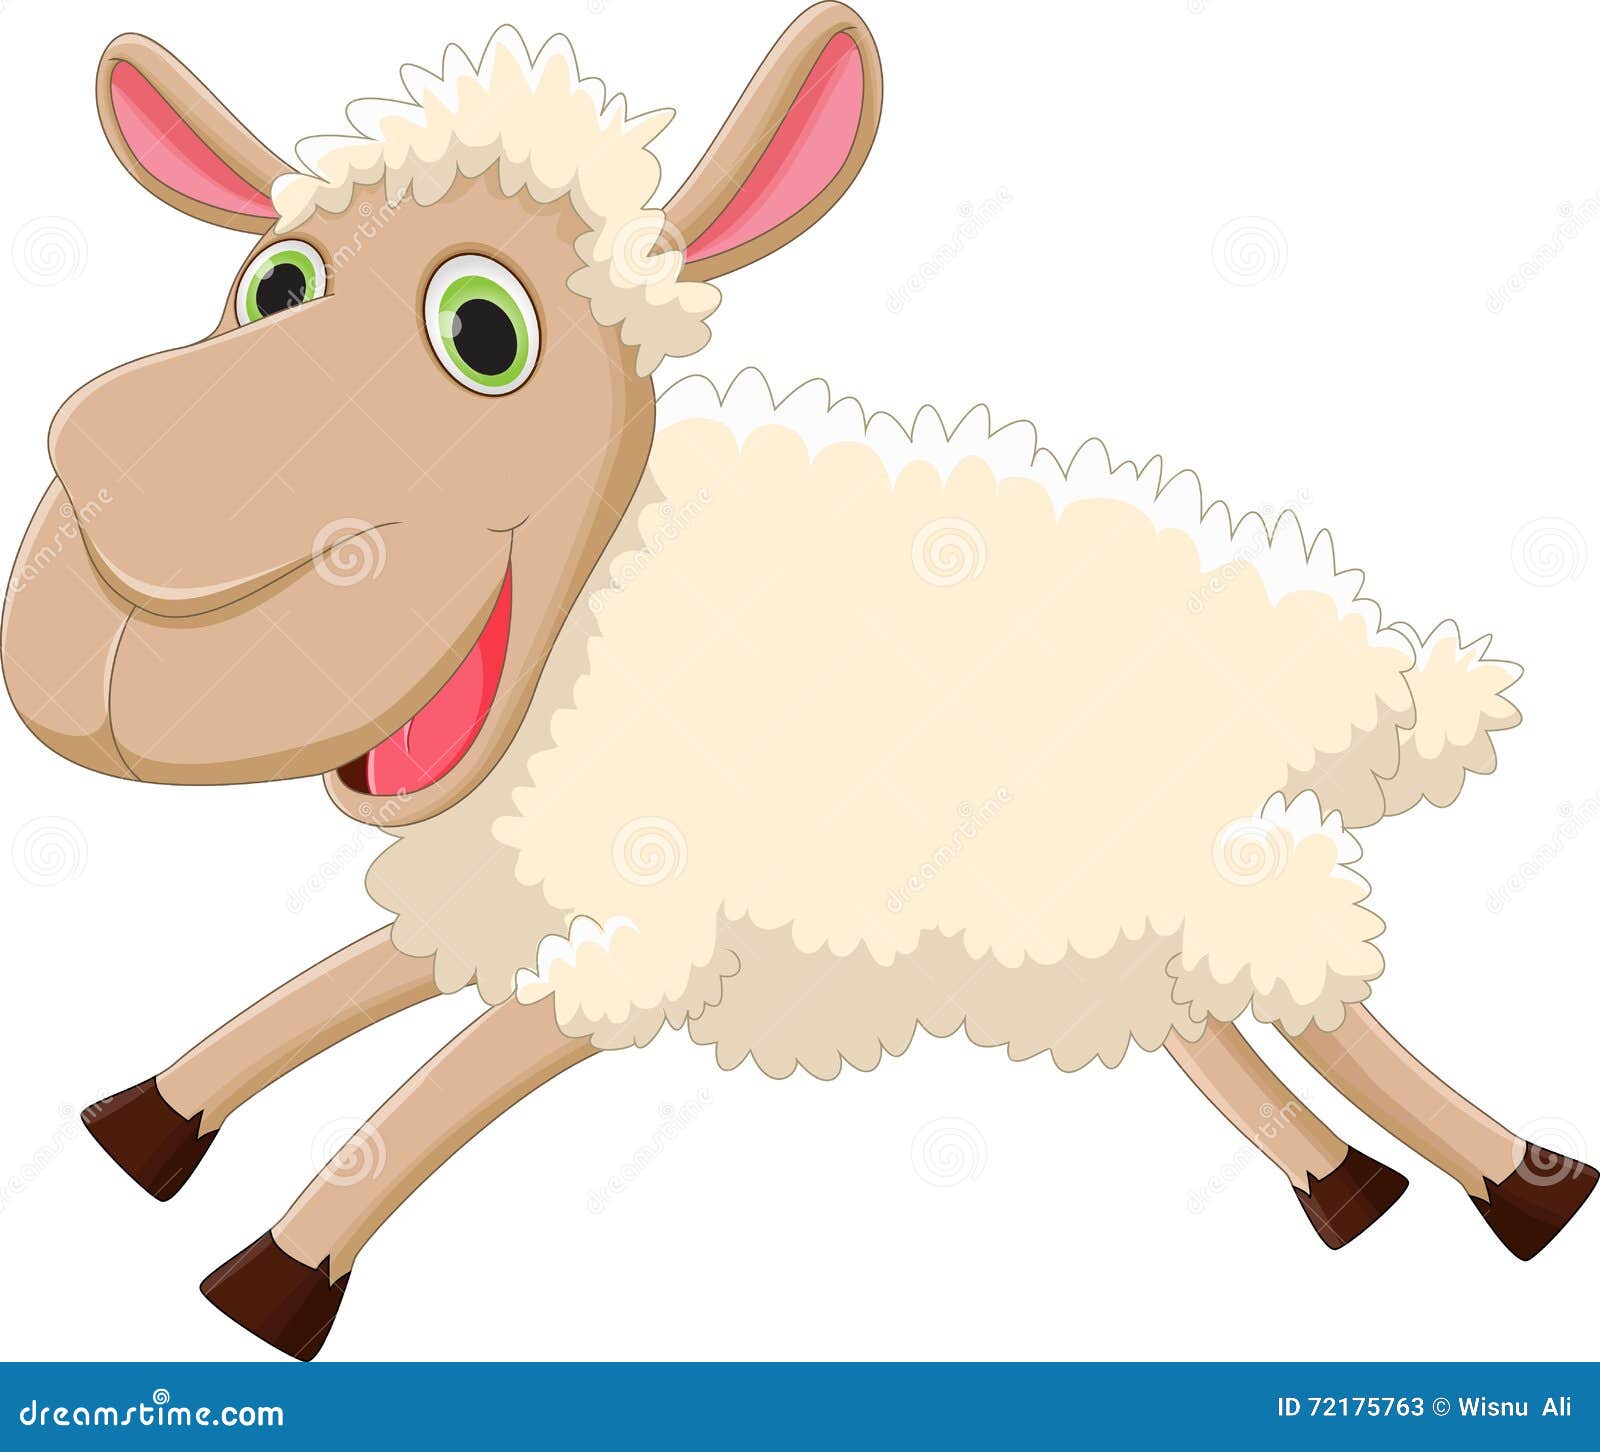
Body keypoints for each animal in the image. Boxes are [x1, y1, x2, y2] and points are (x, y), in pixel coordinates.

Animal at [2, 5, 1592, 1362]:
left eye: (484, 331)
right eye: (274, 283)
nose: (109, 515)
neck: (585, 635)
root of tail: (1364, 662)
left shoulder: (649, 920)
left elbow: (456, 1067)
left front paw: (286, 1266)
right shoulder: (505, 877)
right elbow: (348, 979)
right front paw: (154, 1118)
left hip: (1212, 863)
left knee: (1329, 1013)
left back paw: (1522, 1182)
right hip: (1101, 897)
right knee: (1224, 1031)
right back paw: (1344, 1190)